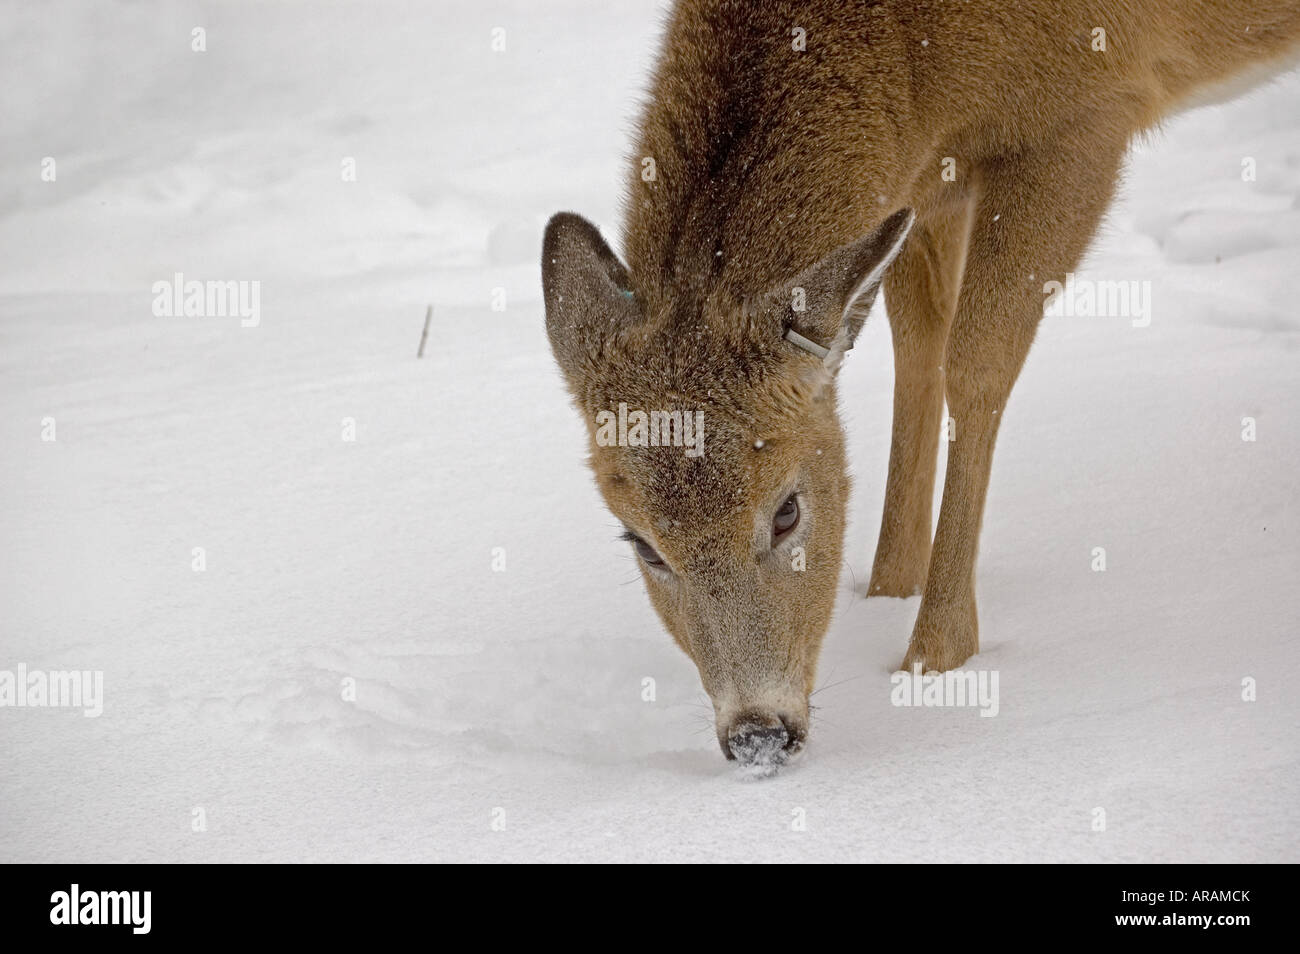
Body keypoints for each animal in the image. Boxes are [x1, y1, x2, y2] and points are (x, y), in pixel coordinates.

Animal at [541, 0, 1300, 773]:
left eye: (786, 511)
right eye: (641, 544)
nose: (758, 735)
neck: (912, 48)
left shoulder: (1085, 113)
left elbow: (977, 365)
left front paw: (934, 659)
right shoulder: (926, 175)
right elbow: (920, 350)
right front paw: (888, 590)